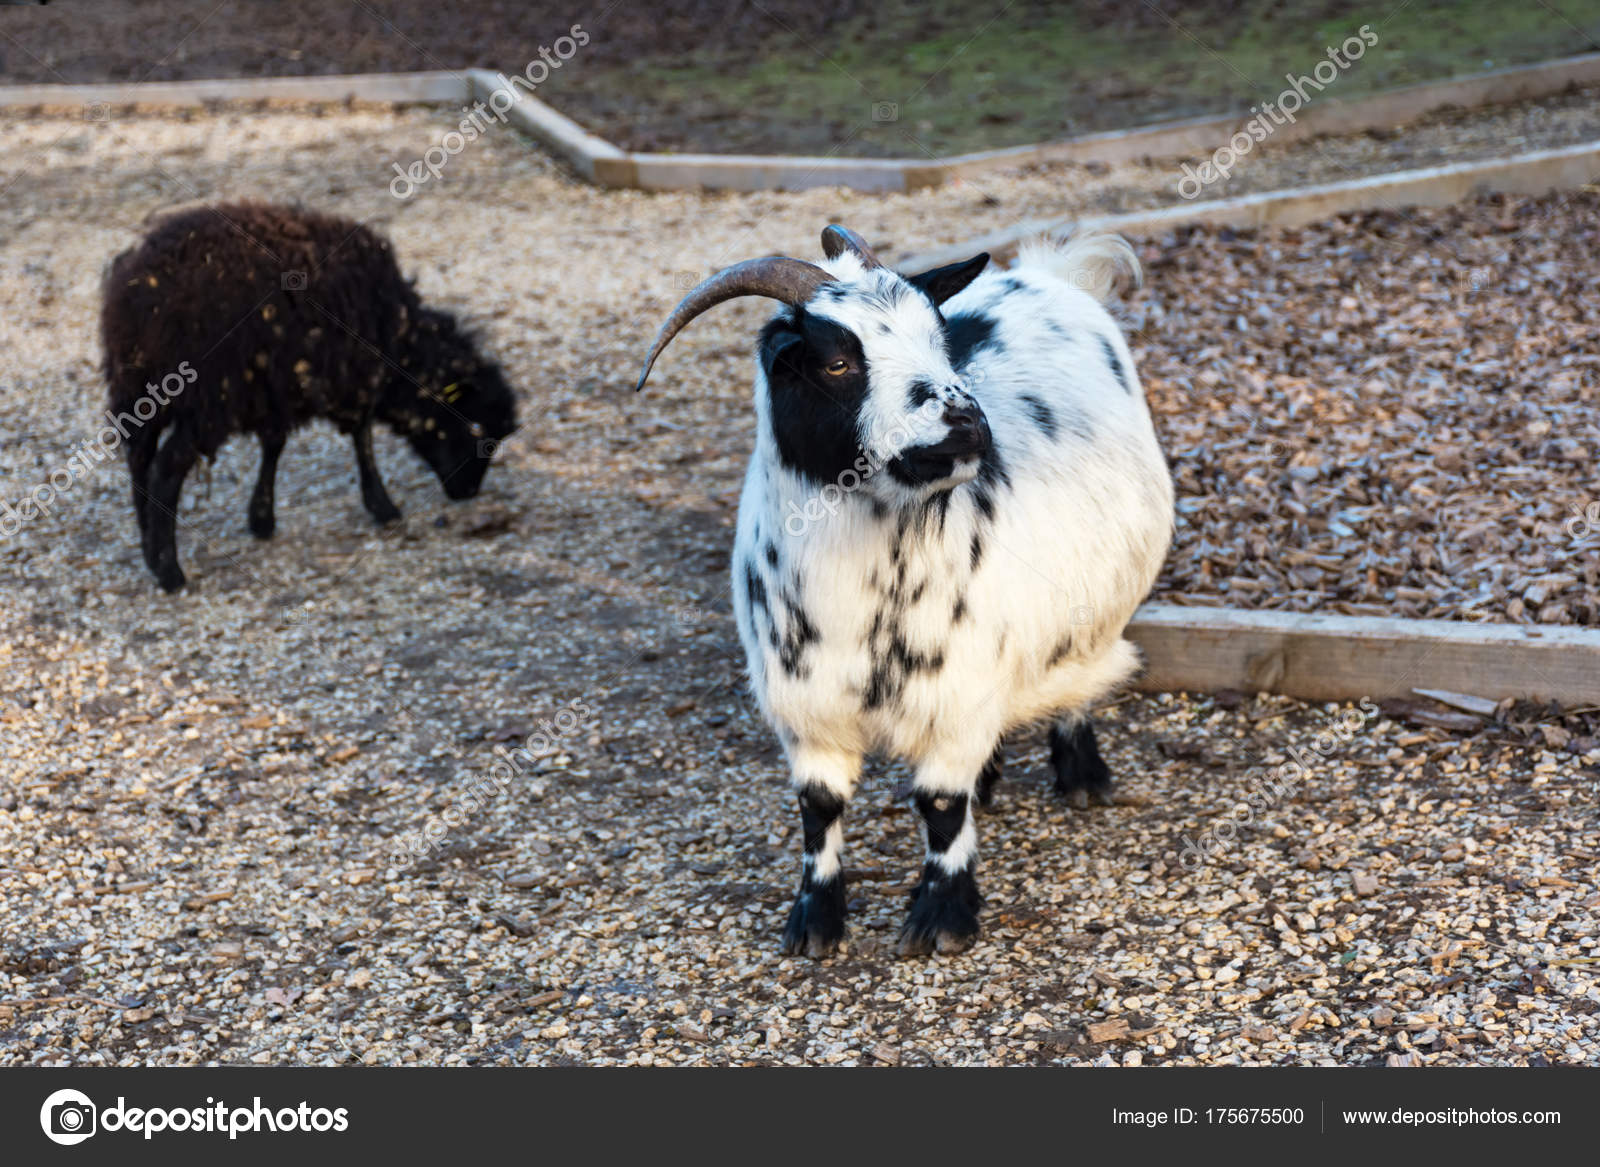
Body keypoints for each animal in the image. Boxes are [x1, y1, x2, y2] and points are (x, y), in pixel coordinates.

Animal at [100, 202, 517, 592]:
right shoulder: (352, 374)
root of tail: (142, 297)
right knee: (166, 471)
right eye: (476, 428)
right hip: (208, 399)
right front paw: (382, 506)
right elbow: (362, 435)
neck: (400, 341)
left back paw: (150, 549)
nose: (468, 492)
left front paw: (262, 518)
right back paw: (170, 572)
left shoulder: (277, 388)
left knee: (139, 463)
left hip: (136, 391)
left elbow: (275, 444)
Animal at [636, 225, 1173, 957]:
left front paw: (941, 918)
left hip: (1095, 614)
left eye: (940, 338)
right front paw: (813, 924)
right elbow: (819, 808)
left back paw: (1082, 777)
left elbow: (940, 806)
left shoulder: (956, 697)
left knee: (1077, 679)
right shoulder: (805, 706)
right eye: (836, 362)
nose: (965, 424)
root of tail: (1049, 272)